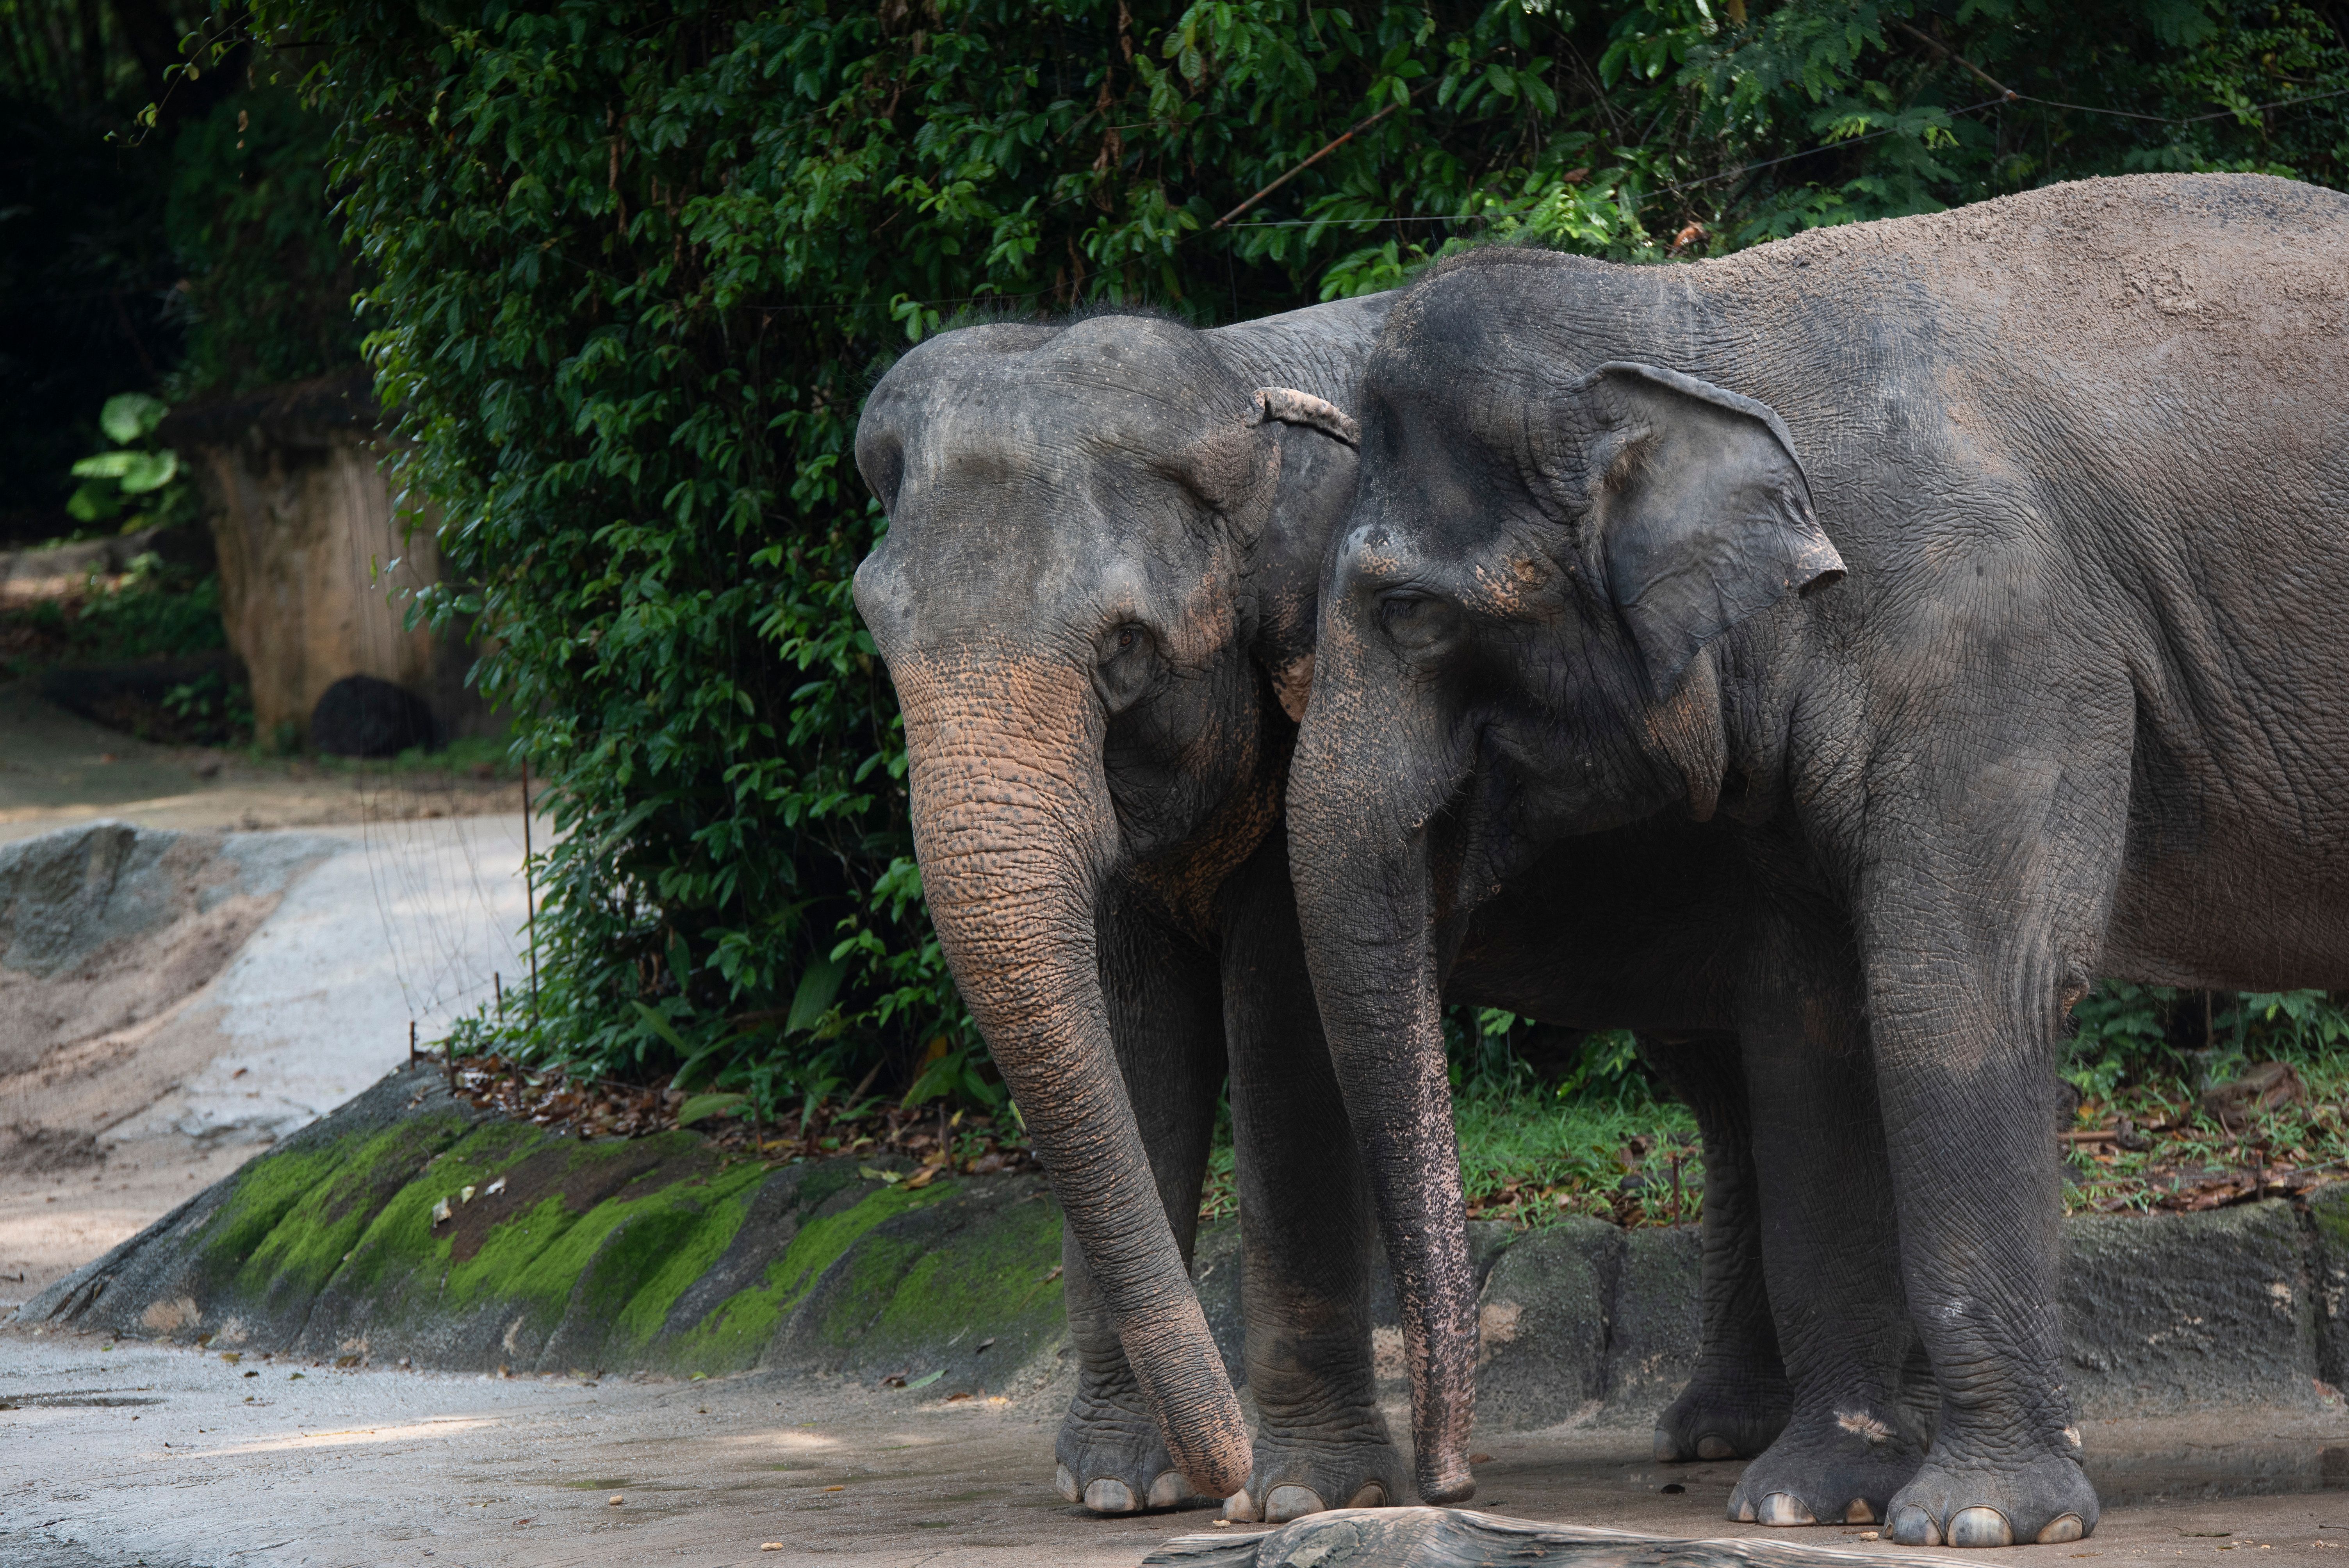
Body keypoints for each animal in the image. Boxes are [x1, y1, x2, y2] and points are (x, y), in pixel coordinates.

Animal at [851, 302, 1806, 1520]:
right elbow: (1134, 1032)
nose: (1217, 1473)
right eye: (879, 635)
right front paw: (1117, 1488)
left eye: (1125, 650)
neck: (1239, 376)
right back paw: (1720, 1433)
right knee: (1722, 1076)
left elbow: (1287, 1028)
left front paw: (1307, 1496)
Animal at [1281, 171, 2349, 1549]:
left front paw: (1978, 1523)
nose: (1452, 1485)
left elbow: (1954, 988)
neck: (1694, 322)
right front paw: (1807, 1501)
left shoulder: (1992, 631)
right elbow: (1809, 1026)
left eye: (1411, 614)